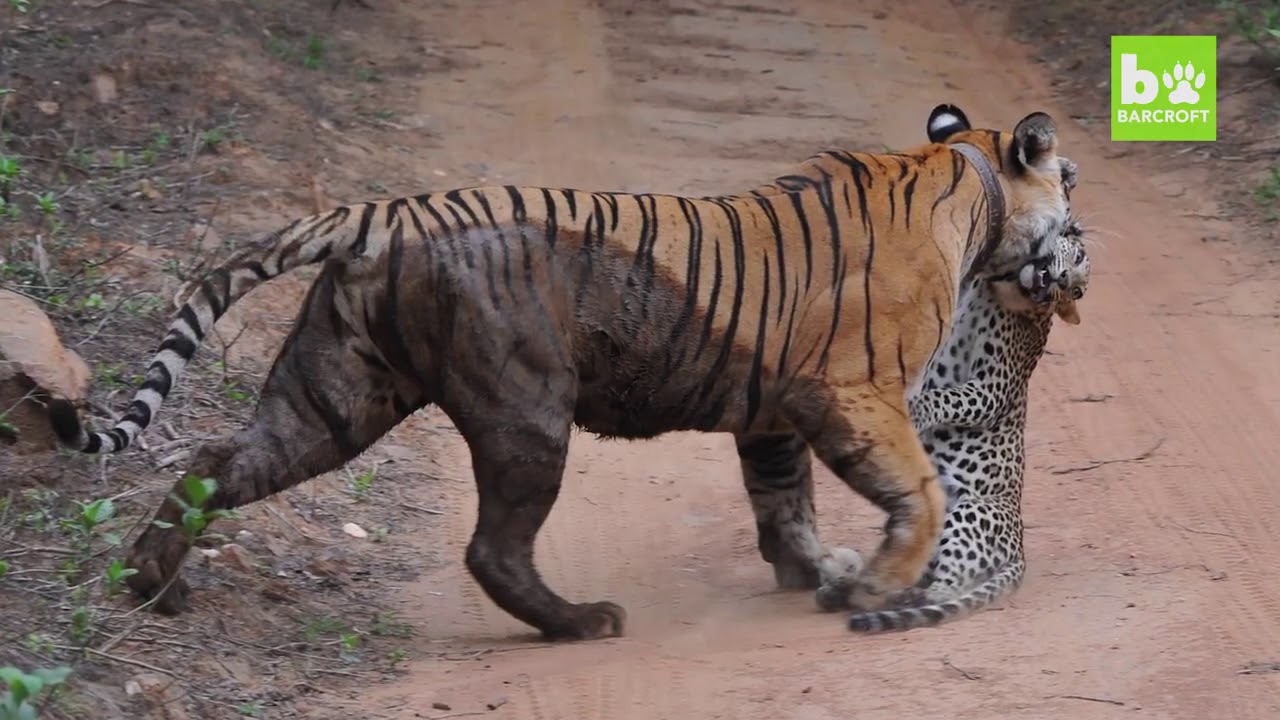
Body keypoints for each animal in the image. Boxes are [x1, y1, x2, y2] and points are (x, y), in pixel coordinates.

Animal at [815, 215, 1091, 632]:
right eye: (1074, 261)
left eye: (1075, 288)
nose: (1059, 282)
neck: (1001, 288)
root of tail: (1020, 548)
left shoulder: (993, 386)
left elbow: (950, 397)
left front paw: (914, 409)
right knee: (923, 571)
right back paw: (846, 589)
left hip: (970, 510)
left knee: (945, 588)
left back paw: (886, 598)